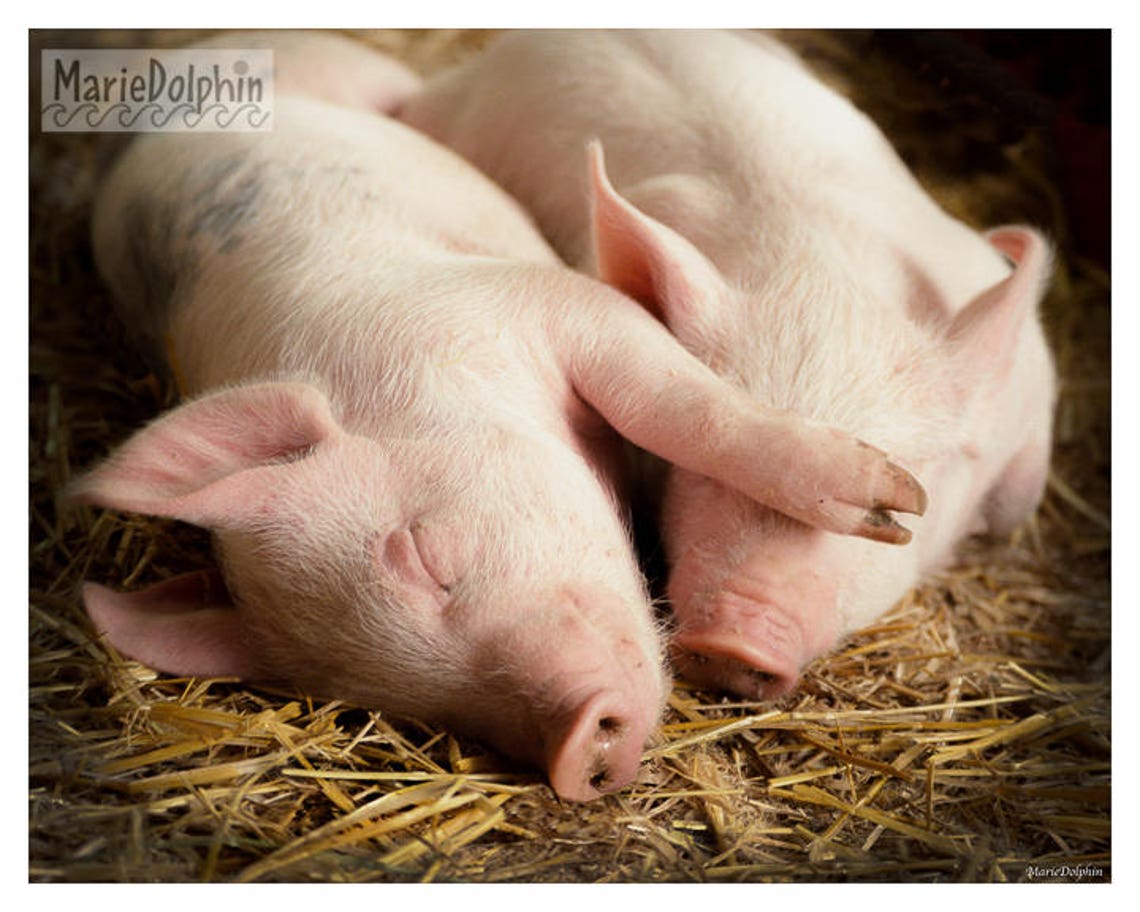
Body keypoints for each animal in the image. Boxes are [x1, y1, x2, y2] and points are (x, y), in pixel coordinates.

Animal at [70, 31, 924, 800]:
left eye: (422, 556)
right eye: (411, 705)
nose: (577, 747)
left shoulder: (539, 301)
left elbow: (682, 410)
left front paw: (895, 504)